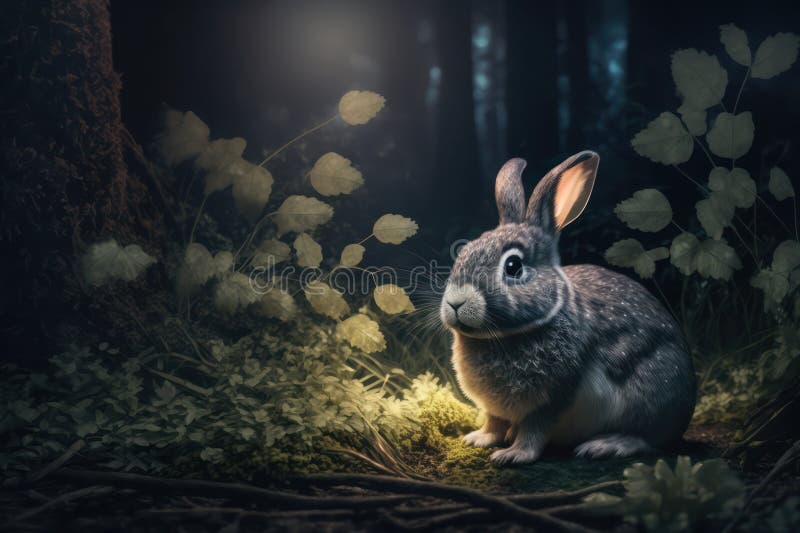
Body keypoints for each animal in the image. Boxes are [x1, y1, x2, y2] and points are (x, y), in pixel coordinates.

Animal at [440, 151, 696, 465]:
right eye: (463, 252)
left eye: (513, 266)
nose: (455, 302)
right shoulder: (496, 408)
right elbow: (494, 421)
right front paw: (479, 438)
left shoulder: (554, 396)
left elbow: (535, 429)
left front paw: (514, 454)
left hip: (651, 391)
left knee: (647, 439)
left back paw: (606, 445)